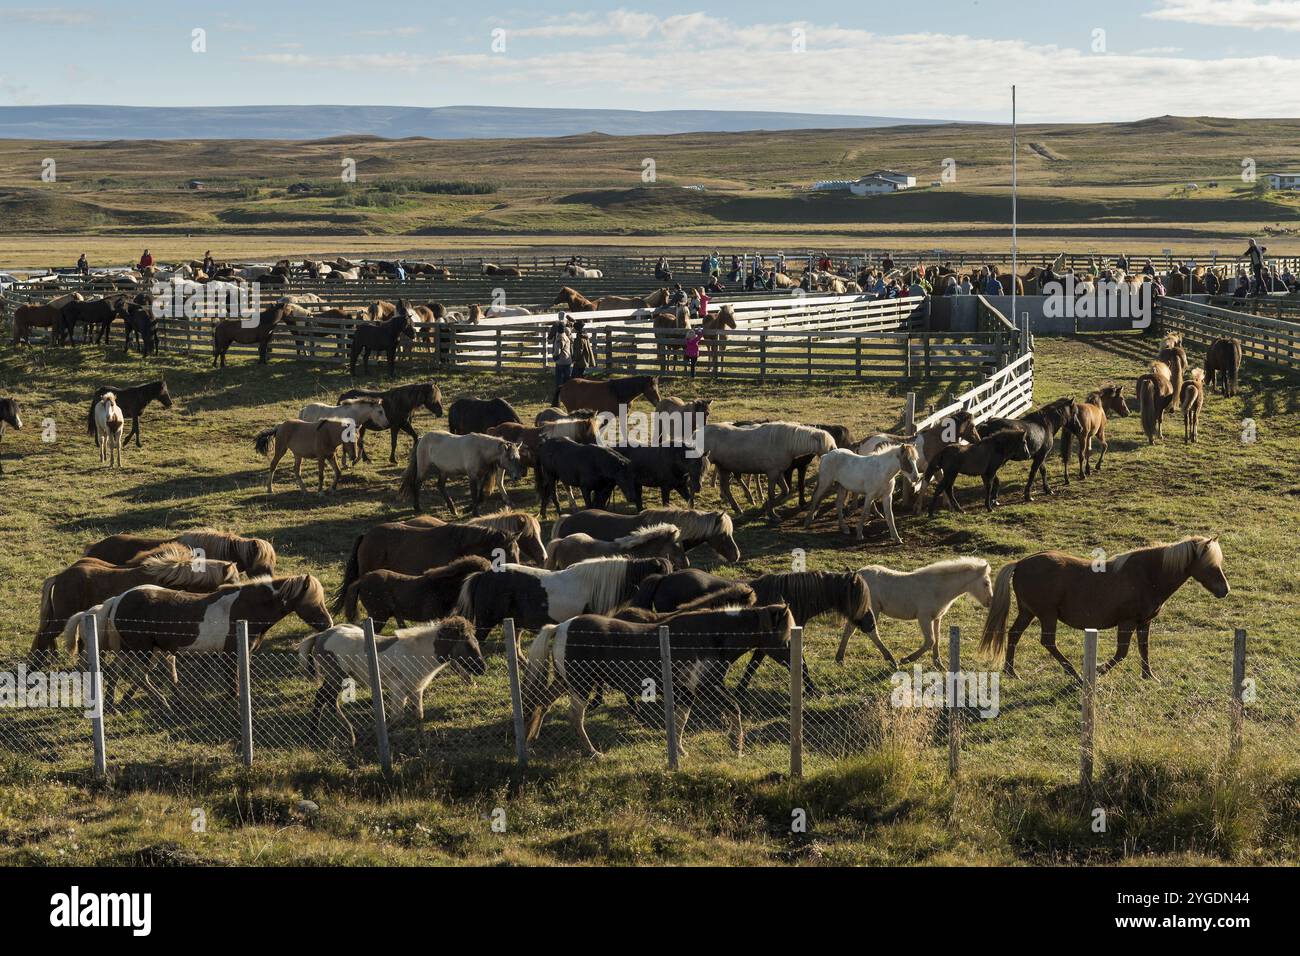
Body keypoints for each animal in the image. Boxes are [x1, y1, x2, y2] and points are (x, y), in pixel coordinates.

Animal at [299, 617, 484, 745]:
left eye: (476, 641)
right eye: (468, 644)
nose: (482, 668)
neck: (416, 653)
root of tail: (321, 635)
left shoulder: (416, 690)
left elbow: (419, 716)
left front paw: (421, 743)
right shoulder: (398, 690)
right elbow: (396, 718)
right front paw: (373, 737)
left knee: (321, 697)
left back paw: (313, 735)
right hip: (337, 677)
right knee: (328, 699)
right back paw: (351, 737)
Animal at [522, 604, 793, 758]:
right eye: (785, 634)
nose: (795, 660)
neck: (711, 636)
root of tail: (561, 627)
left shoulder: (687, 692)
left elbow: (681, 721)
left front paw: (680, 751)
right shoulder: (704, 688)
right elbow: (734, 708)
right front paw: (737, 747)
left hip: (565, 682)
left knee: (542, 703)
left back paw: (530, 739)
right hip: (580, 685)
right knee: (575, 717)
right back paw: (593, 752)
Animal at [703, 421, 835, 521]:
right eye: (830, 447)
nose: (835, 454)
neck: (786, 444)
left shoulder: (779, 472)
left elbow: (785, 490)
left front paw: (767, 507)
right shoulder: (772, 473)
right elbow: (771, 494)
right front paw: (772, 514)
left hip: (724, 468)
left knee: (726, 487)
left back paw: (738, 509)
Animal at [836, 558, 994, 668]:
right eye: (986, 583)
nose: (990, 601)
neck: (938, 588)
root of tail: (856, 575)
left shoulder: (937, 618)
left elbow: (937, 639)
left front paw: (939, 664)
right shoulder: (923, 617)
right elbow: (930, 641)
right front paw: (906, 659)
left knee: (849, 629)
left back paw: (840, 658)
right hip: (872, 609)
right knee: (871, 632)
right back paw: (892, 660)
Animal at [979, 536, 1229, 681]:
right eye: (1209, 564)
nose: (1225, 590)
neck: (1147, 576)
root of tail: (1020, 563)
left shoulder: (1144, 622)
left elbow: (1144, 649)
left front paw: (1149, 676)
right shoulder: (1127, 622)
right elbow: (1121, 653)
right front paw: (1099, 669)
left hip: (1028, 613)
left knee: (1014, 635)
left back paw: (1011, 672)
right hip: (1047, 615)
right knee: (1047, 642)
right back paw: (1075, 675)